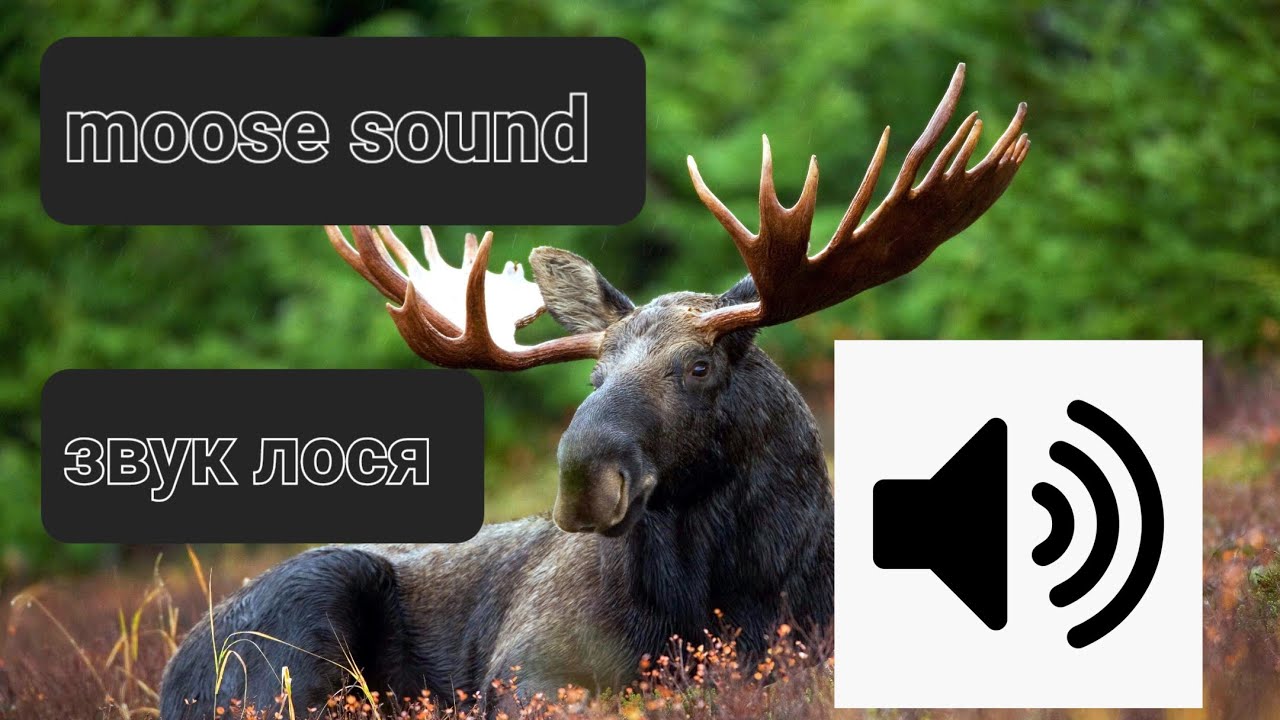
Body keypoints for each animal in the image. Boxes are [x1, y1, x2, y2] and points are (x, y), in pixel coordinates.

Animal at [159, 64, 1027, 719]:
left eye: (699, 367)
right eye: (594, 375)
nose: (583, 478)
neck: (728, 592)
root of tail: (175, 670)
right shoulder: (530, 669)